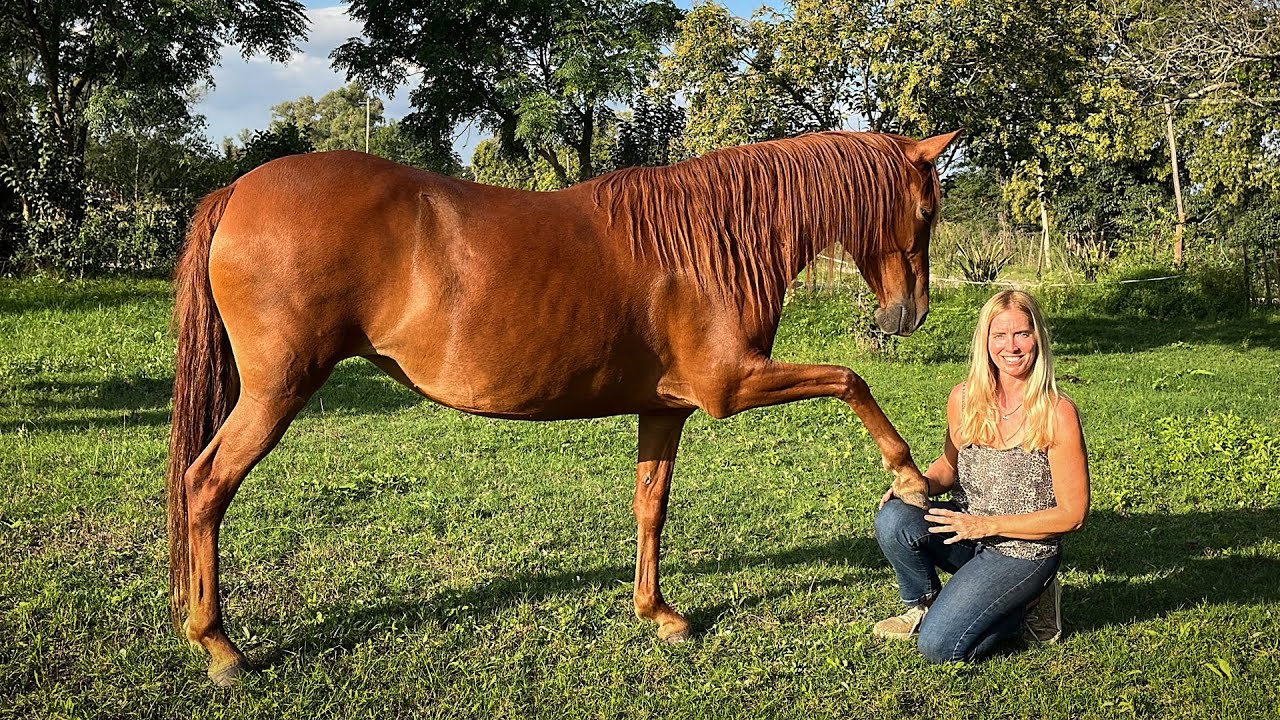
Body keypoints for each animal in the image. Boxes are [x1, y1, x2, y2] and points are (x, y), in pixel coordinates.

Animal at [168, 129, 960, 685]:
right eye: (925, 209)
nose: (910, 315)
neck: (706, 246)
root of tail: (238, 191)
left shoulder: (667, 408)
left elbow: (651, 507)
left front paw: (658, 614)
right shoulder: (731, 387)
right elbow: (850, 380)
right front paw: (912, 478)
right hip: (277, 391)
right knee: (205, 486)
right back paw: (220, 645)